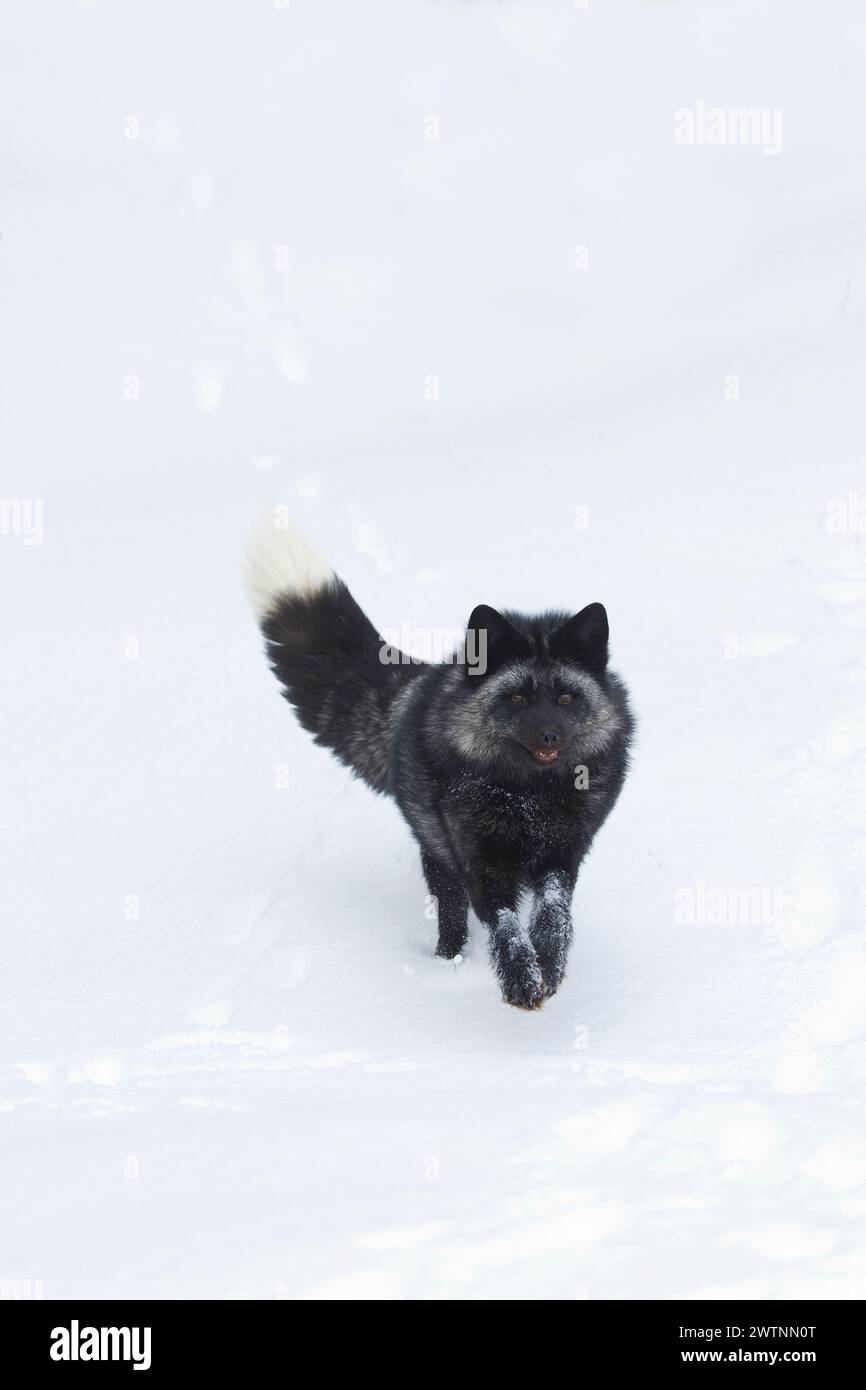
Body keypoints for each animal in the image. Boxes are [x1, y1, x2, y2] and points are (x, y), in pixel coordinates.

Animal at [246, 520, 634, 1010]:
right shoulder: (480, 864)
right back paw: (449, 963)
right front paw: (520, 979)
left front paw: (549, 965)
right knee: (451, 914)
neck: (528, 798)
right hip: (437, 851)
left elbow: (554, 914)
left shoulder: (563, 856)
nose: (550, 736)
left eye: (566, 697)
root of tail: (425, 677)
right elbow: (505, 924)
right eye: (516, 697)